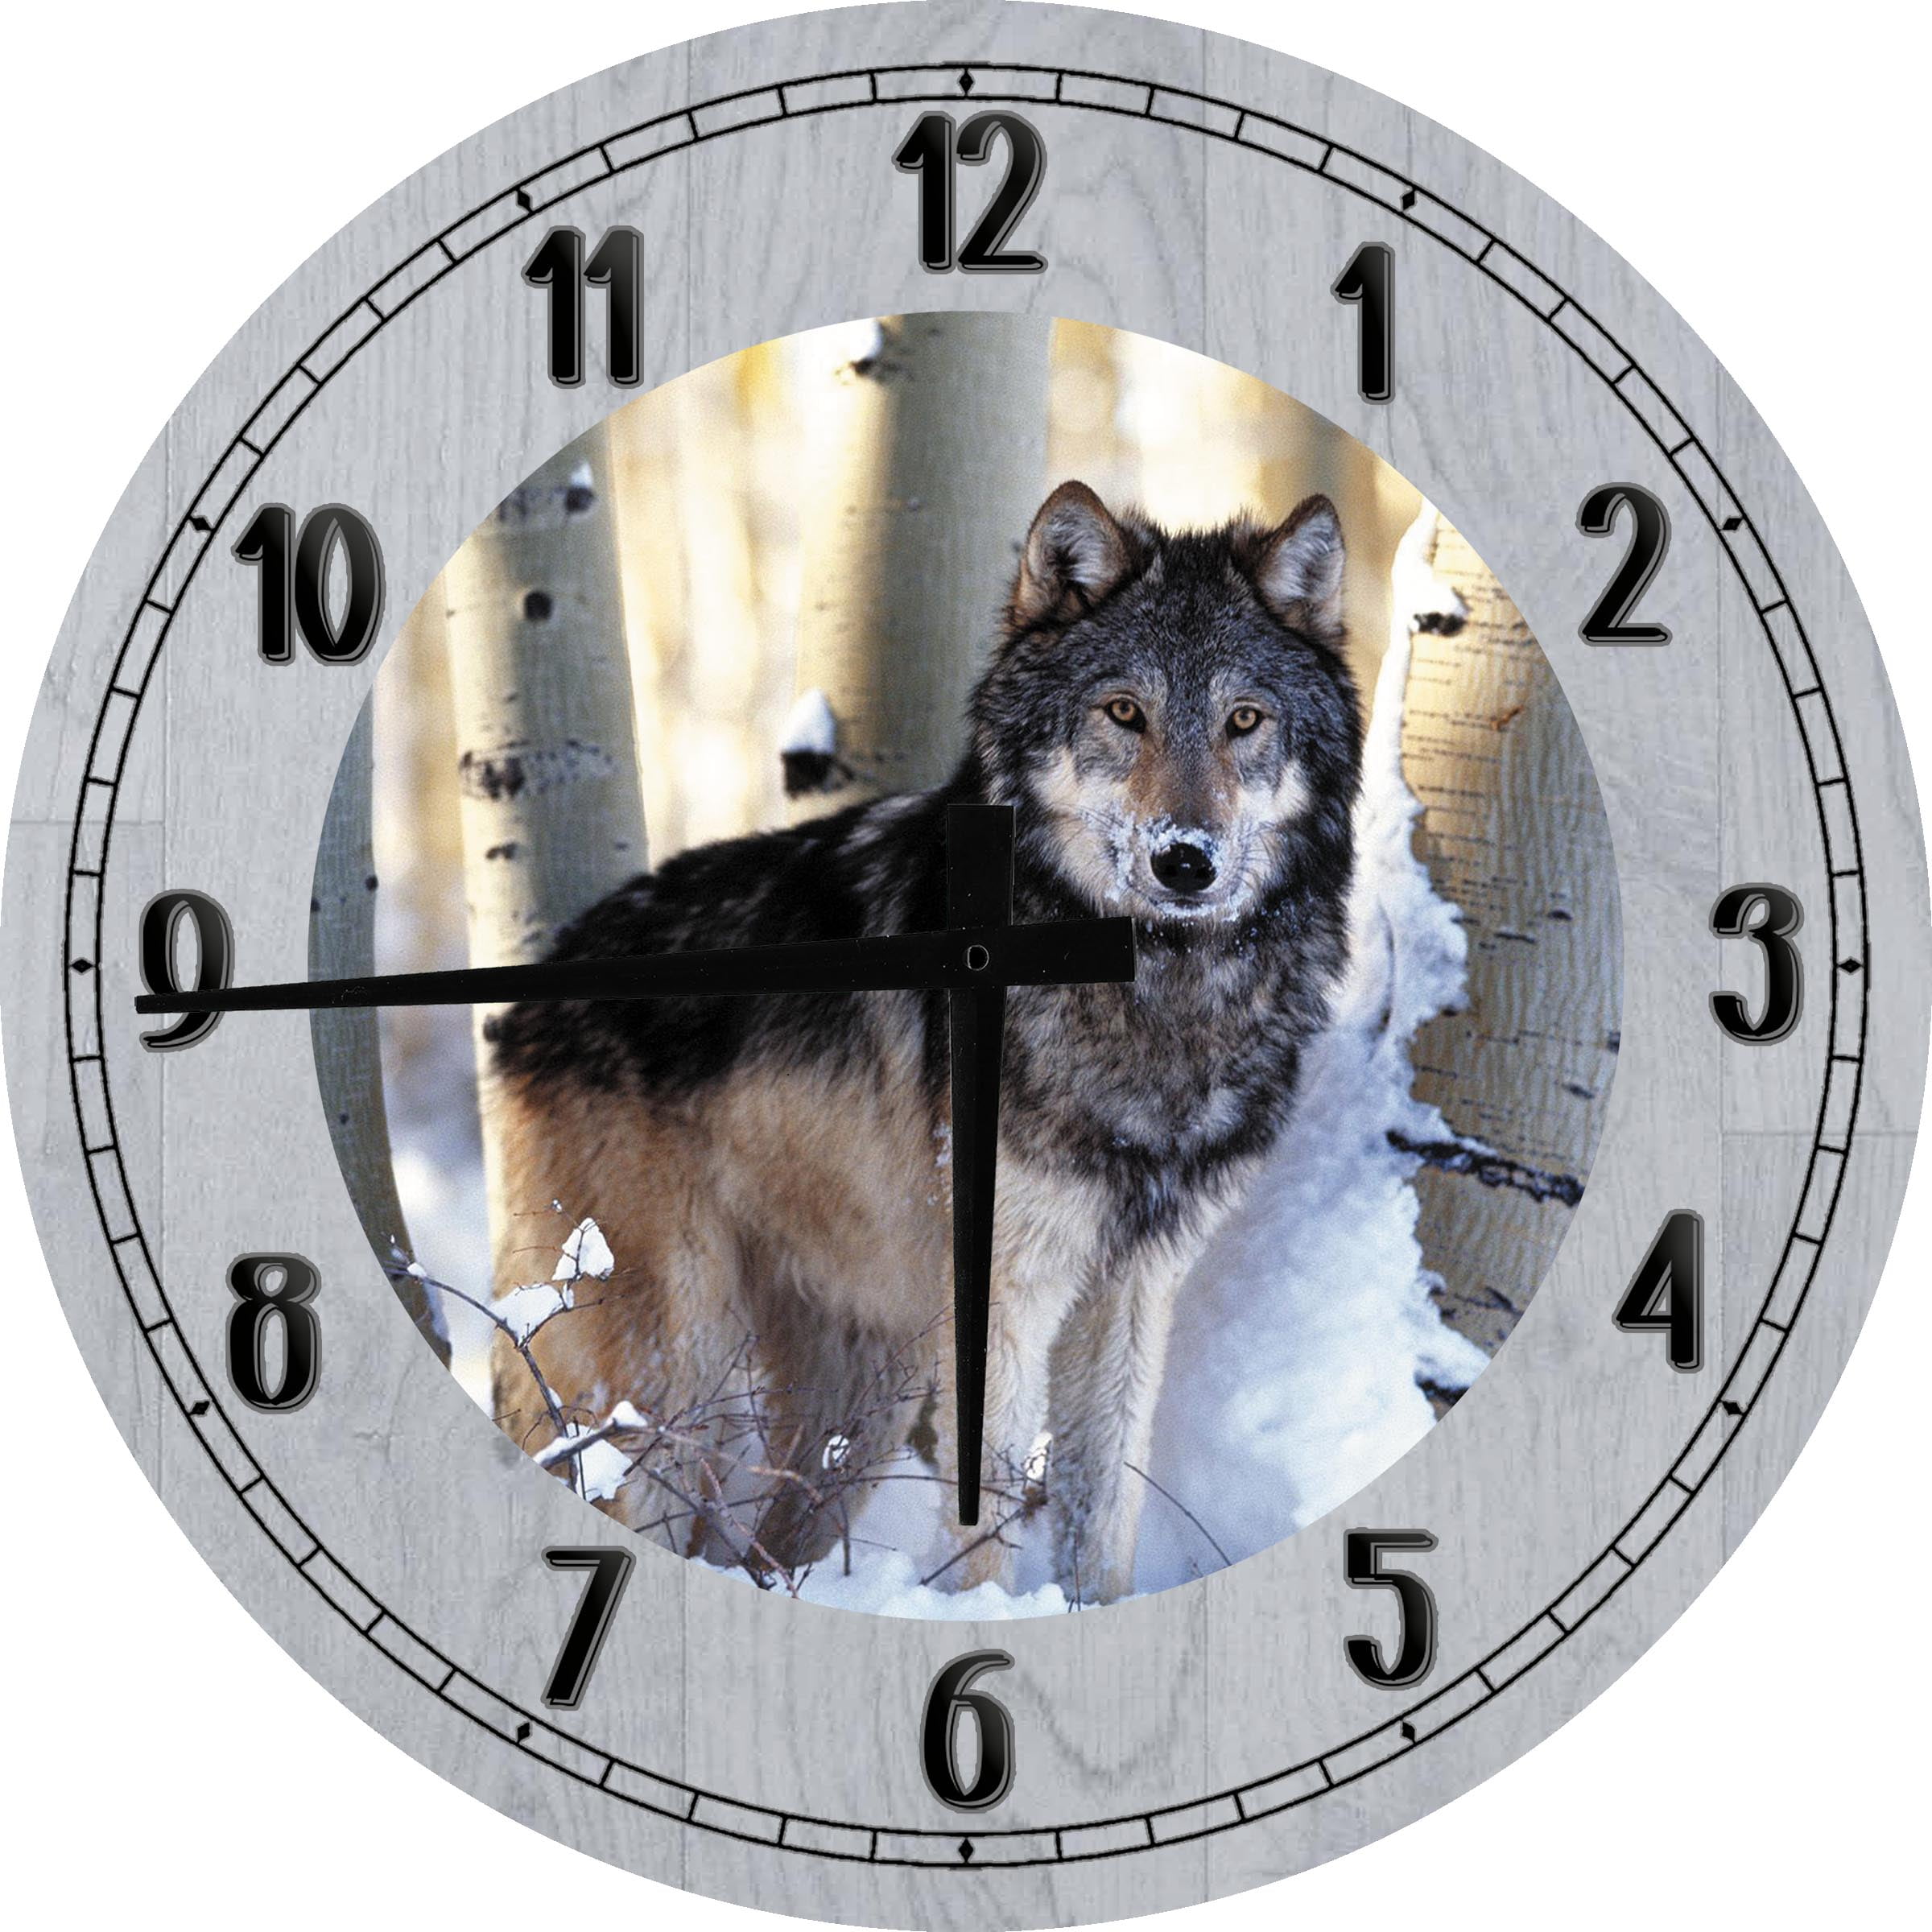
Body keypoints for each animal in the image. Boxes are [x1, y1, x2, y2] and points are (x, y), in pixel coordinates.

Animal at [487, 480, 1362, 1604]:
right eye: (1125, 712)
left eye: (1244, 721)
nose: (1186, 861)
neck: (1153, 997)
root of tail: (529, 994)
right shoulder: (1009, 1296)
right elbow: (984, 1526)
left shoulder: (1133, 1290)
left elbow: (1101, 1518)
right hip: (680, 1372)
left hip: (861, 1397)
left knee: (766, 1548)